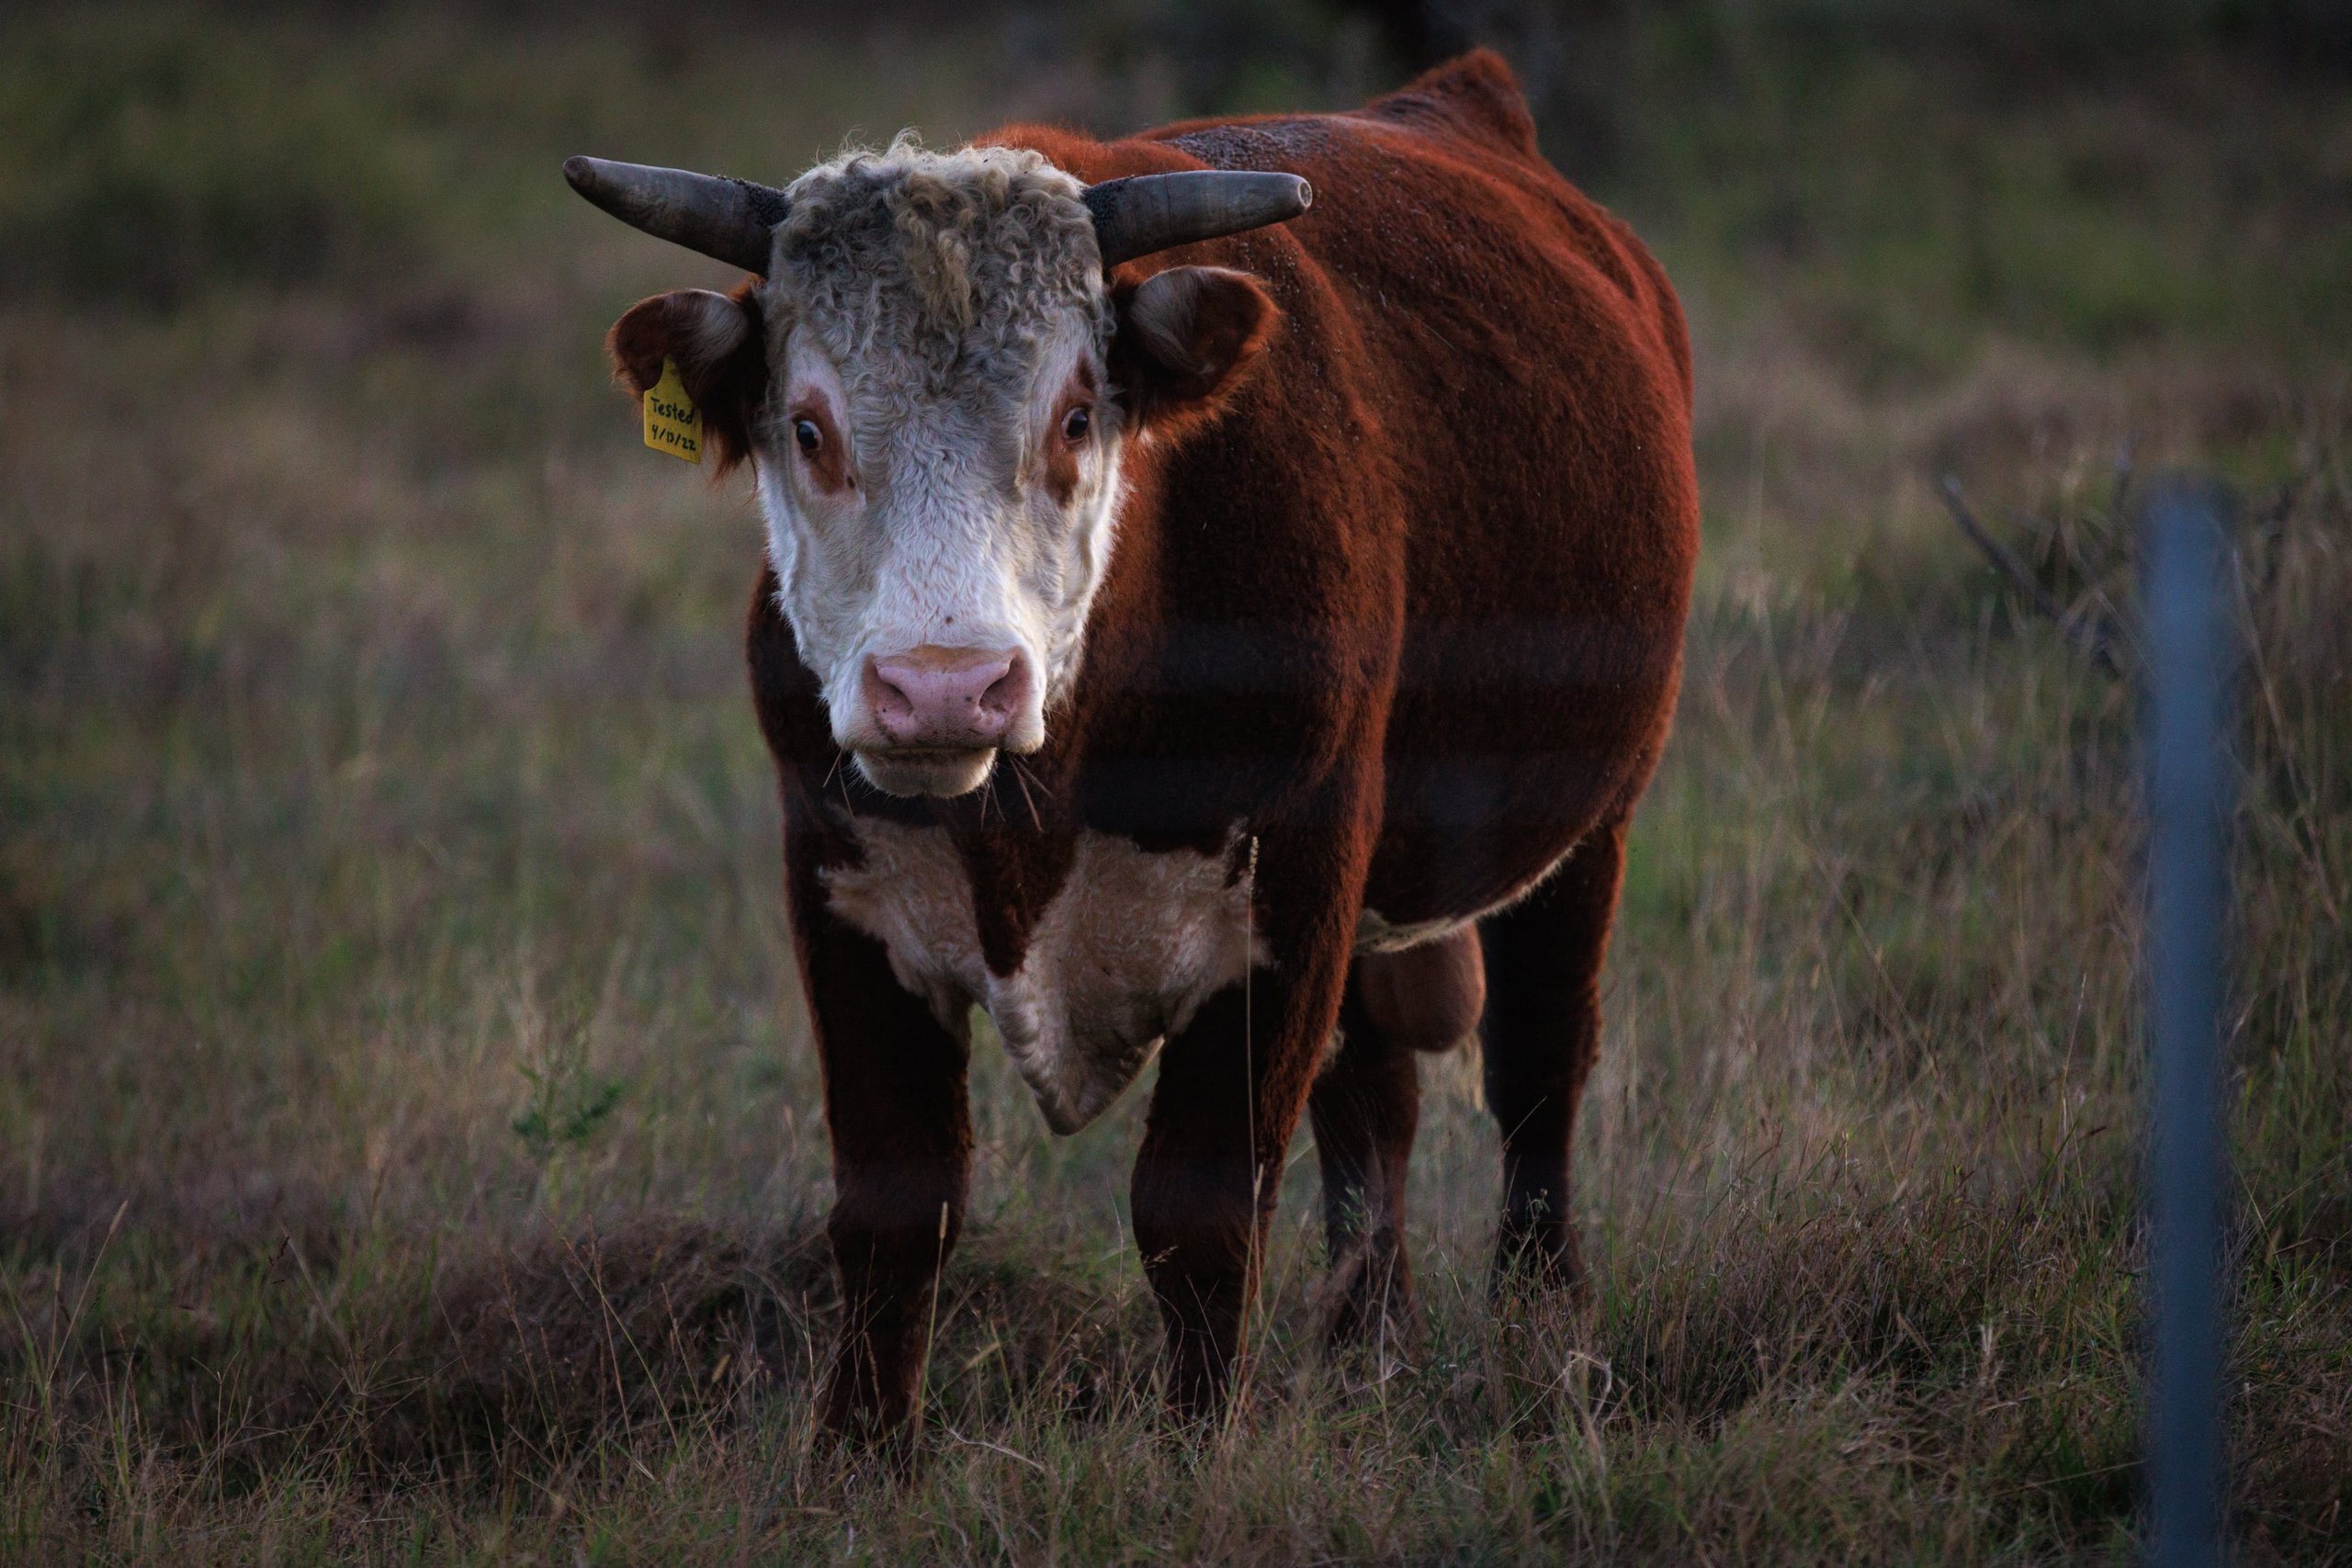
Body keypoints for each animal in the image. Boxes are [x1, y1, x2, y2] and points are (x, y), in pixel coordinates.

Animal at [568, 50, 1697, 1441]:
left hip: (1588, 824)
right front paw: (857, 1459)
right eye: (811, 426)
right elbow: (894, 1212)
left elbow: (1197, 1213)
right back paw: (1366, 1347)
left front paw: (1197, 1451)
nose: (943, 690)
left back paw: (1546, 1341)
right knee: (1376, 1098)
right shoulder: (838, 891)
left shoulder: (1291, 895)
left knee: (1539, 1076)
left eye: (1072, 415)